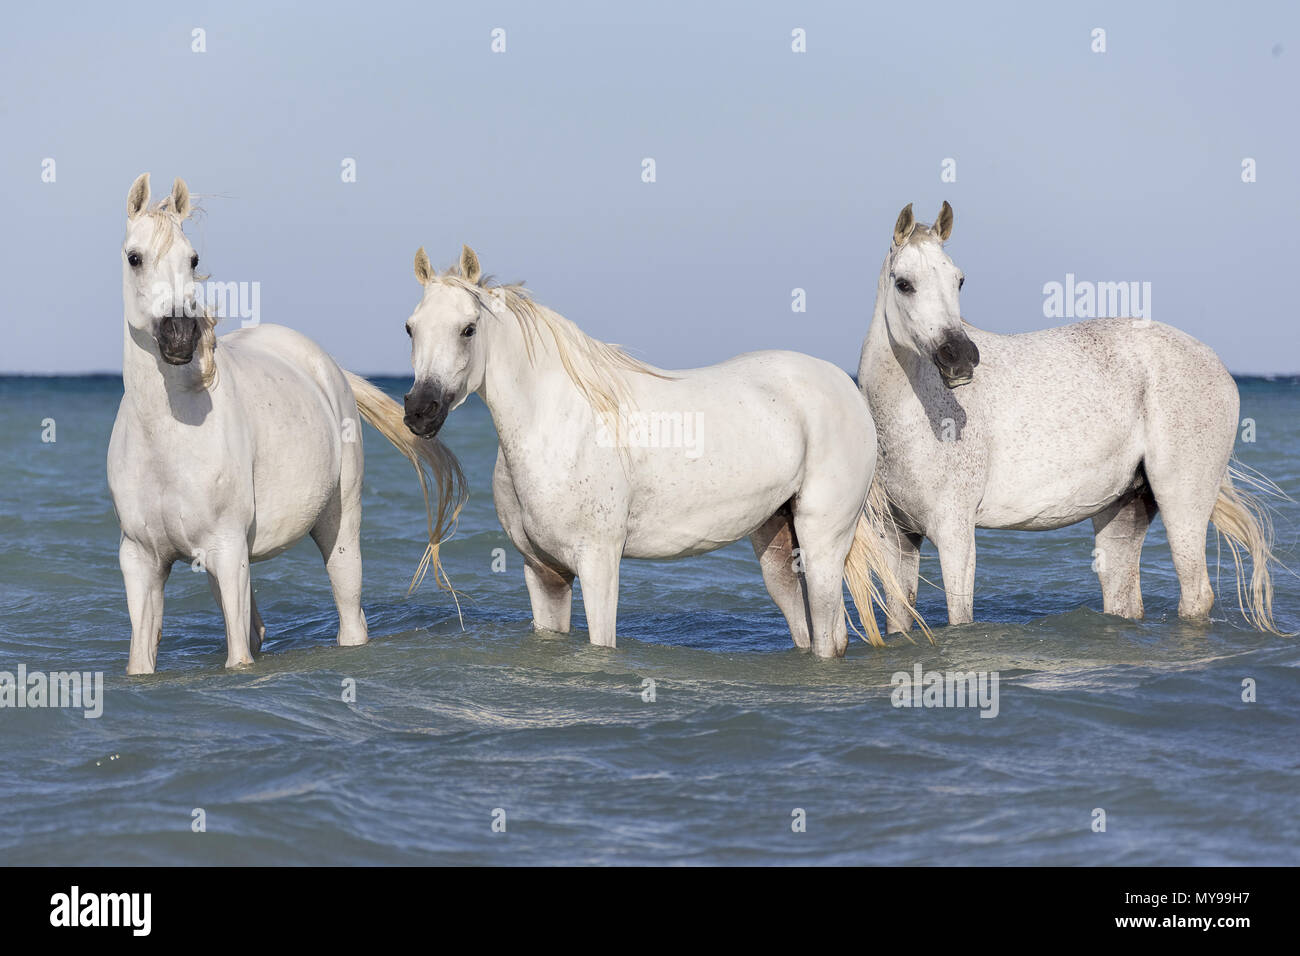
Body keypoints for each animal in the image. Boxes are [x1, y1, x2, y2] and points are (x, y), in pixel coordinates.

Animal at [108, 174, 464, 674]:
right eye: (134, 257)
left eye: (192, 258)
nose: (180, 337)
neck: (167, 439)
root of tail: (325, 364)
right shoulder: (141, 561)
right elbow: (143, 659)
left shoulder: (227, 551)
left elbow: (238, 658)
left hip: (338, 528)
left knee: (350, 616)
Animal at [397, 244, 927, 657]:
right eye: (410, 327)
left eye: (468, 328)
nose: (420, 412)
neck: (555, 428)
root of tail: (844, 386)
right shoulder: (543, 573)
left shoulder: (599, 564)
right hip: (779, 545)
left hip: (822, 542)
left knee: (827, 640)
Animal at [857, 201, 1284, 635]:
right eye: (904, 284)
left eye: (958, 280)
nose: (960, 357)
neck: (917, 413)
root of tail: (1216, 364)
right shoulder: (898, 537)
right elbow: (899, 619)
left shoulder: (955, 532)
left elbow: (961, 619)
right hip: (1124, 509)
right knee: (1124, 597)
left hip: (1182, 501)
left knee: (1196, 594)